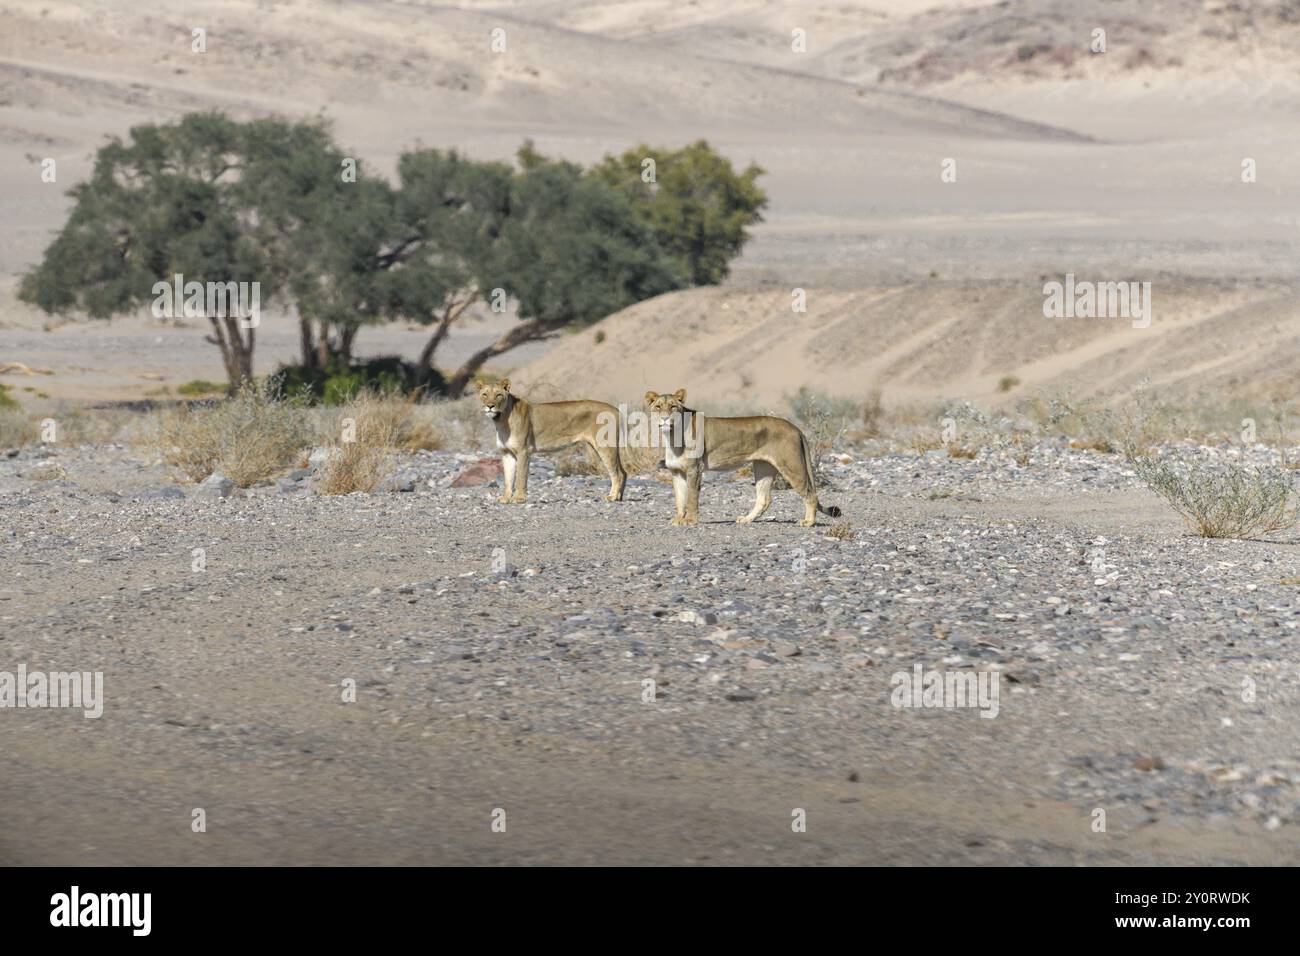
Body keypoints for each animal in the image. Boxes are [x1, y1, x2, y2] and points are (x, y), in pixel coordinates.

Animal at [475, 379, 625, 503]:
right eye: (485, 394)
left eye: (499, 395)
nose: (490, 406)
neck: (501, 420)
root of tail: (616, 410)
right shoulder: (507, 453)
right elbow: (508, 478)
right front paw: (505, 499)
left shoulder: (524, 451)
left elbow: (521, 477)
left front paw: (519, 498)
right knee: (623, 473)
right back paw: (619, 497)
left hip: (605, 446)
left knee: (617, 474)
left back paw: (611, 497)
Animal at [644, 388, 841, 527]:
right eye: (658, 407)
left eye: (673, 407)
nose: (665, 419)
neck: (672, 436)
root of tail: (795, 427)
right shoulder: (676, 472)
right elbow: (679, 499)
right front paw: (678, 518)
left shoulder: (694, 469)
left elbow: (691, 497)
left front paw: (690, 520)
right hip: (763, 467)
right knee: (764, 499)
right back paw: (746, 519)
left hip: (791, 466)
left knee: (810, 494)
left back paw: (808, 522)